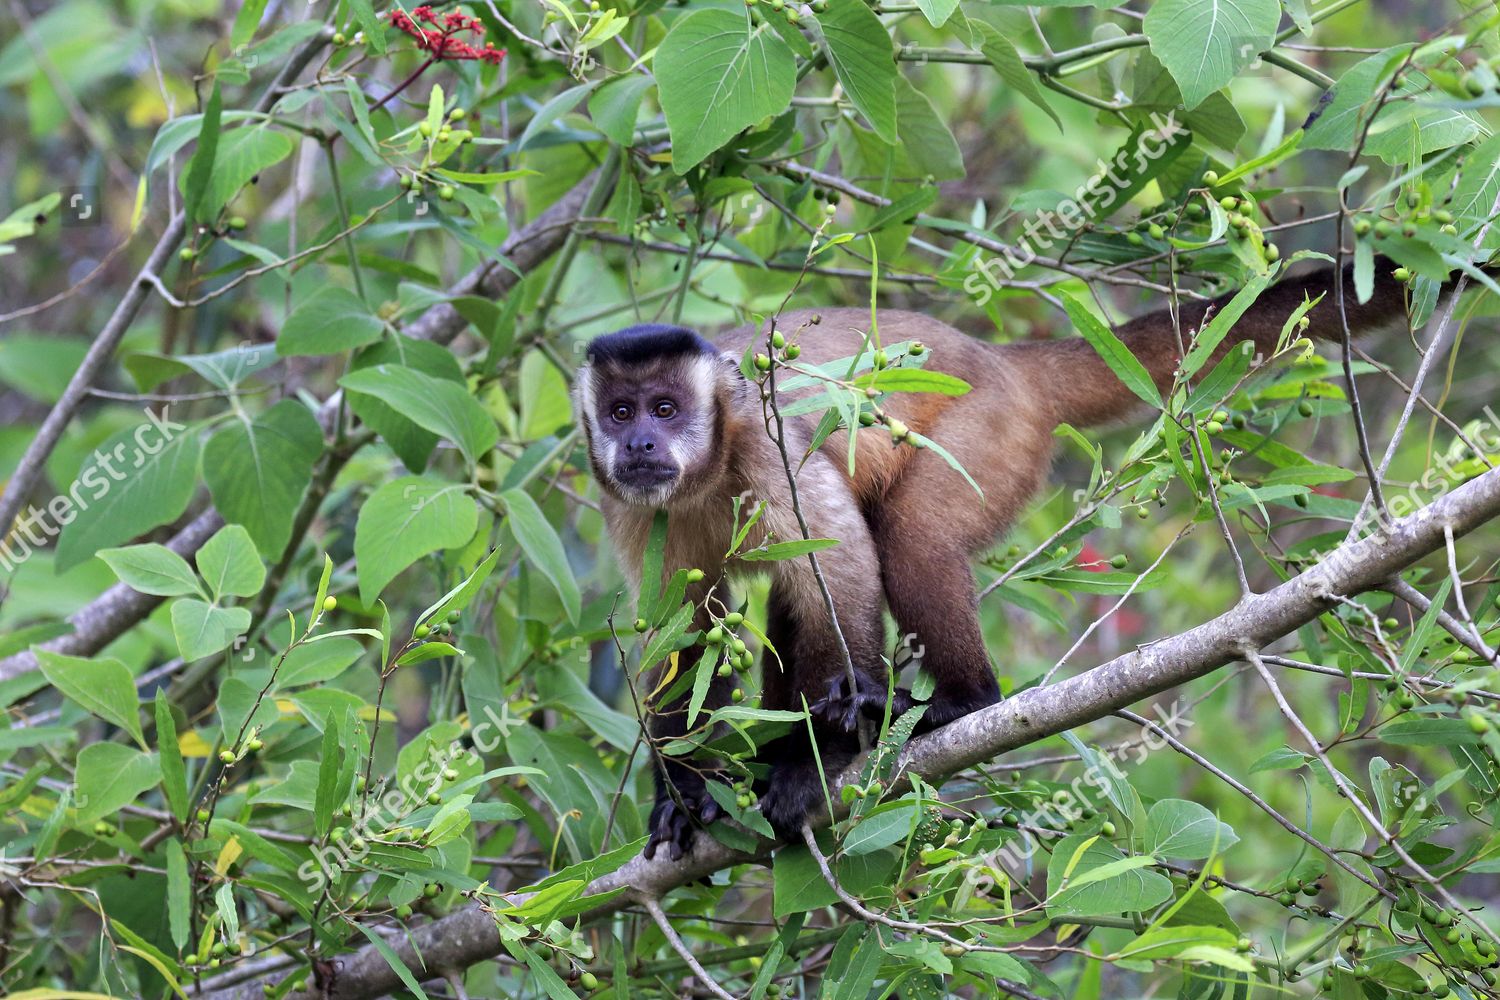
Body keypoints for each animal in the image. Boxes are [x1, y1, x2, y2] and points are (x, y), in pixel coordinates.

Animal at [574, 261, 1417, 860]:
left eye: (666, 409)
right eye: (620, 413)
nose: (640, 443)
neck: (708, 469)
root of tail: (1004, 360)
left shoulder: (764, 438)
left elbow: (840, 570)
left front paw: (822, 758)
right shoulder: (627, 504)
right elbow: (683, 630)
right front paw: (684, 793)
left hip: (993, 428)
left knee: (909, 535)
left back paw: (961, 702)